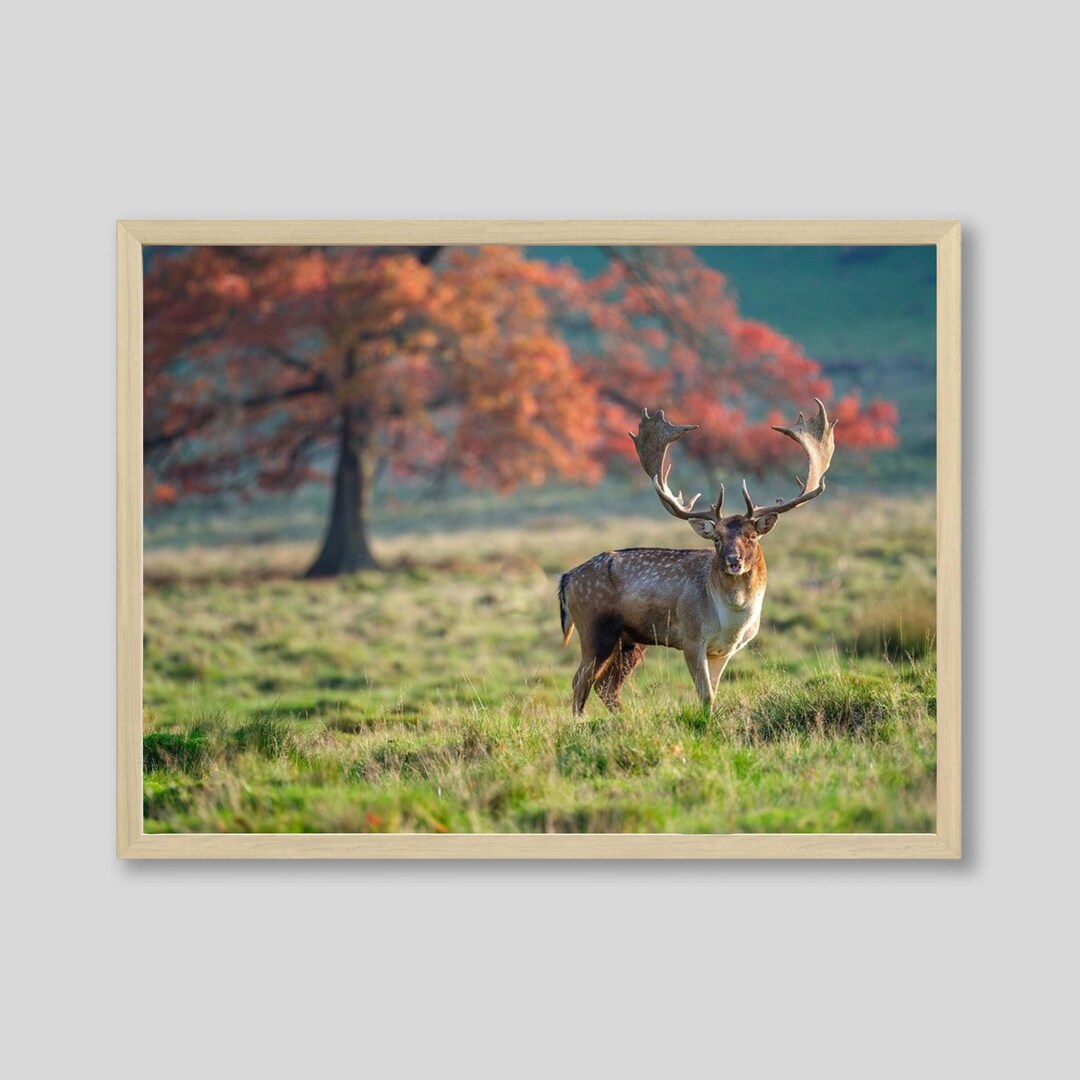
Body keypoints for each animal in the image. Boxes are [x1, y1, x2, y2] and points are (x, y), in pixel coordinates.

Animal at [558, 400, 837, 714]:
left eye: (752, 536)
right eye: (717, 538)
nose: (733, 561)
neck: (731, 622)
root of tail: (566, 579)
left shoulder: (722, 651)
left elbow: (712, 695)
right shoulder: (691, 639)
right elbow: (705, 695)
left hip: (629, 640)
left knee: (606, 685)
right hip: (595, 628)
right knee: (580, 681)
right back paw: (580, 721)